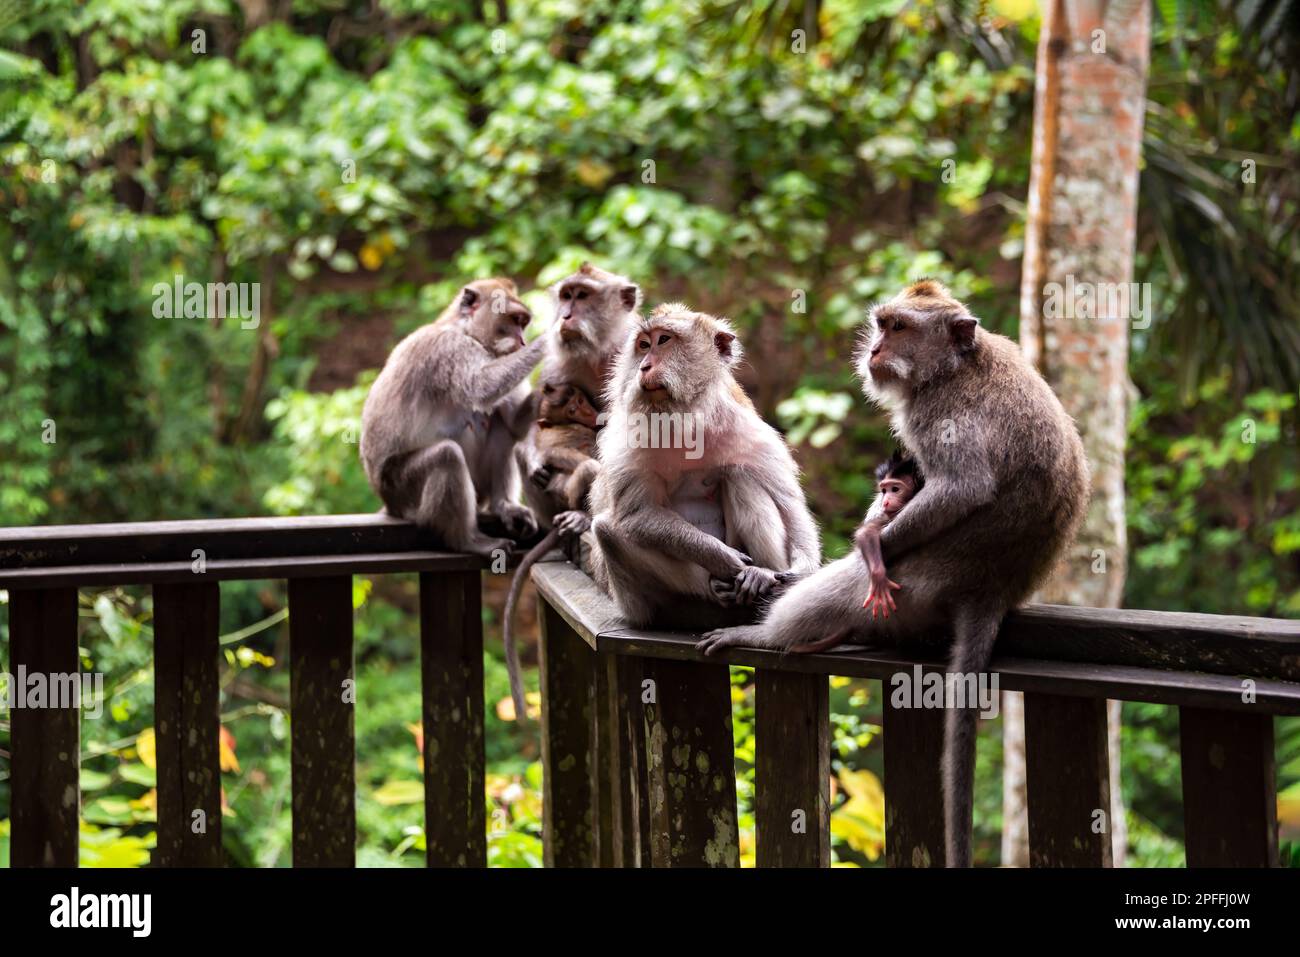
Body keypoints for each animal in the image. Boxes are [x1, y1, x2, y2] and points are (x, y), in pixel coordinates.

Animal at [360, 278, 549, 558]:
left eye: (523, 323)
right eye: (515, 320)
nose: (523, 342)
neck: (465, 331)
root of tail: (388, 502)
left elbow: (514, 424)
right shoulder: (450, 348)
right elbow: (483, 387)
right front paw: (553, 336)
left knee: (501, 427)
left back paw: (502, 505)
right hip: (402, 490)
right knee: (446, 455)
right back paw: (466, 541)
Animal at [500, 382, 603, 720]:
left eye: (581, 399)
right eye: (571, 408)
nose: (592, 414)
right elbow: (564, 456)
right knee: (586, 469)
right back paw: (582, 514)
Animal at [586, 303, 822, 628]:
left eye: (663, 340)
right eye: (643, 345)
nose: (644, 366)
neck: (686, 415)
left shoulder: (742, 423)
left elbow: (789, 503)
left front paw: (801, 570)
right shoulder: (632, 435)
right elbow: (637, 513)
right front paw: (721, 557)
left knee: (741, 476)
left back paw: (762, 578)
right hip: (637, 601)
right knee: (607, 531)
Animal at [697, 280, 1090, 868]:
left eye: (899, 327)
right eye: (882, 325)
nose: (876, 350)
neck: (954, 366)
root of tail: (993, 589)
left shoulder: (938, 413)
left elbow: (963, 487)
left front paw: (869, 541)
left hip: (917, 585)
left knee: (850, 585)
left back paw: (766, 634)